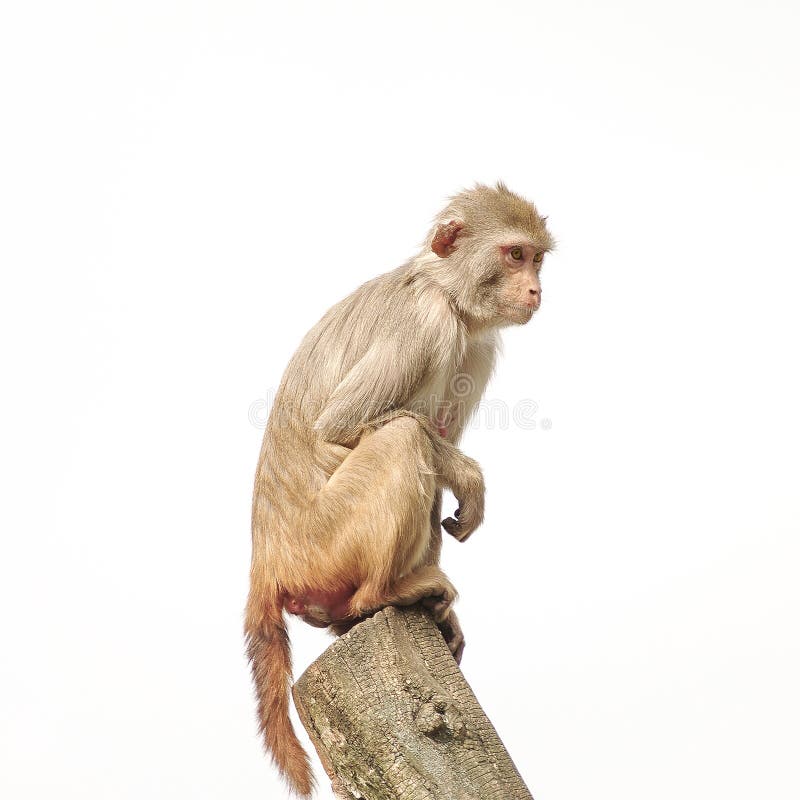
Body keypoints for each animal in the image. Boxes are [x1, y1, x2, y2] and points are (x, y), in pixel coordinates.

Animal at [245, 182, 554, 796]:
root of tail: (268, 560)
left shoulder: (478, 348)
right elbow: (340, 427)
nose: (536, 289)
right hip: (325, 547)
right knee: (405, 438)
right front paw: (470, 478)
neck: (448, 292)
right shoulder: (426, 323)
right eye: (514, 255)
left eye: (536, 258)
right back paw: (380, 595)